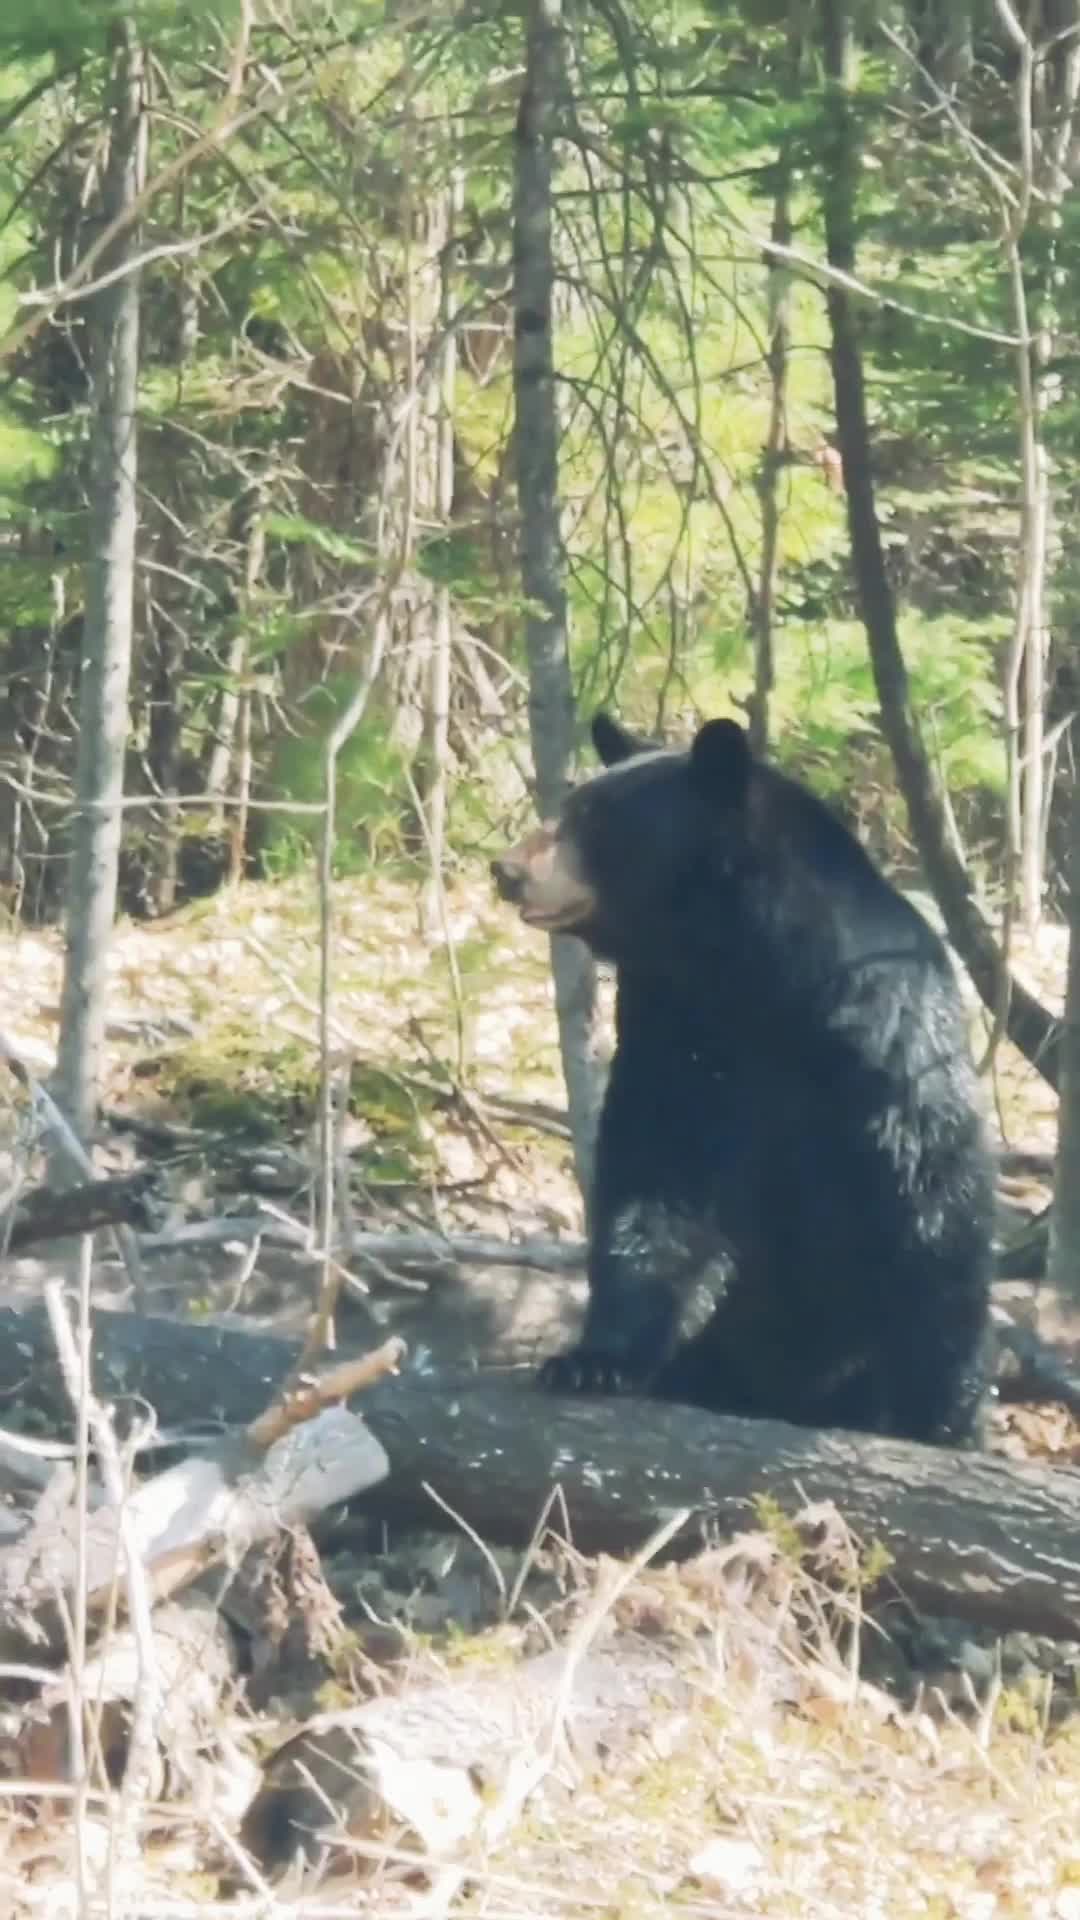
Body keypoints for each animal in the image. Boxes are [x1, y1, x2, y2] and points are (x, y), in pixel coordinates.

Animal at [491, 712, 994, 1447]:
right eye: (575, 803)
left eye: (594, 818)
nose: (507, 869)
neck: (745, 973)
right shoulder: (680, 1035)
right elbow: (655, 1175)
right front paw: (592, 1361)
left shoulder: (882, 1041)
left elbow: (932, 1203)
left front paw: (937, 1416)